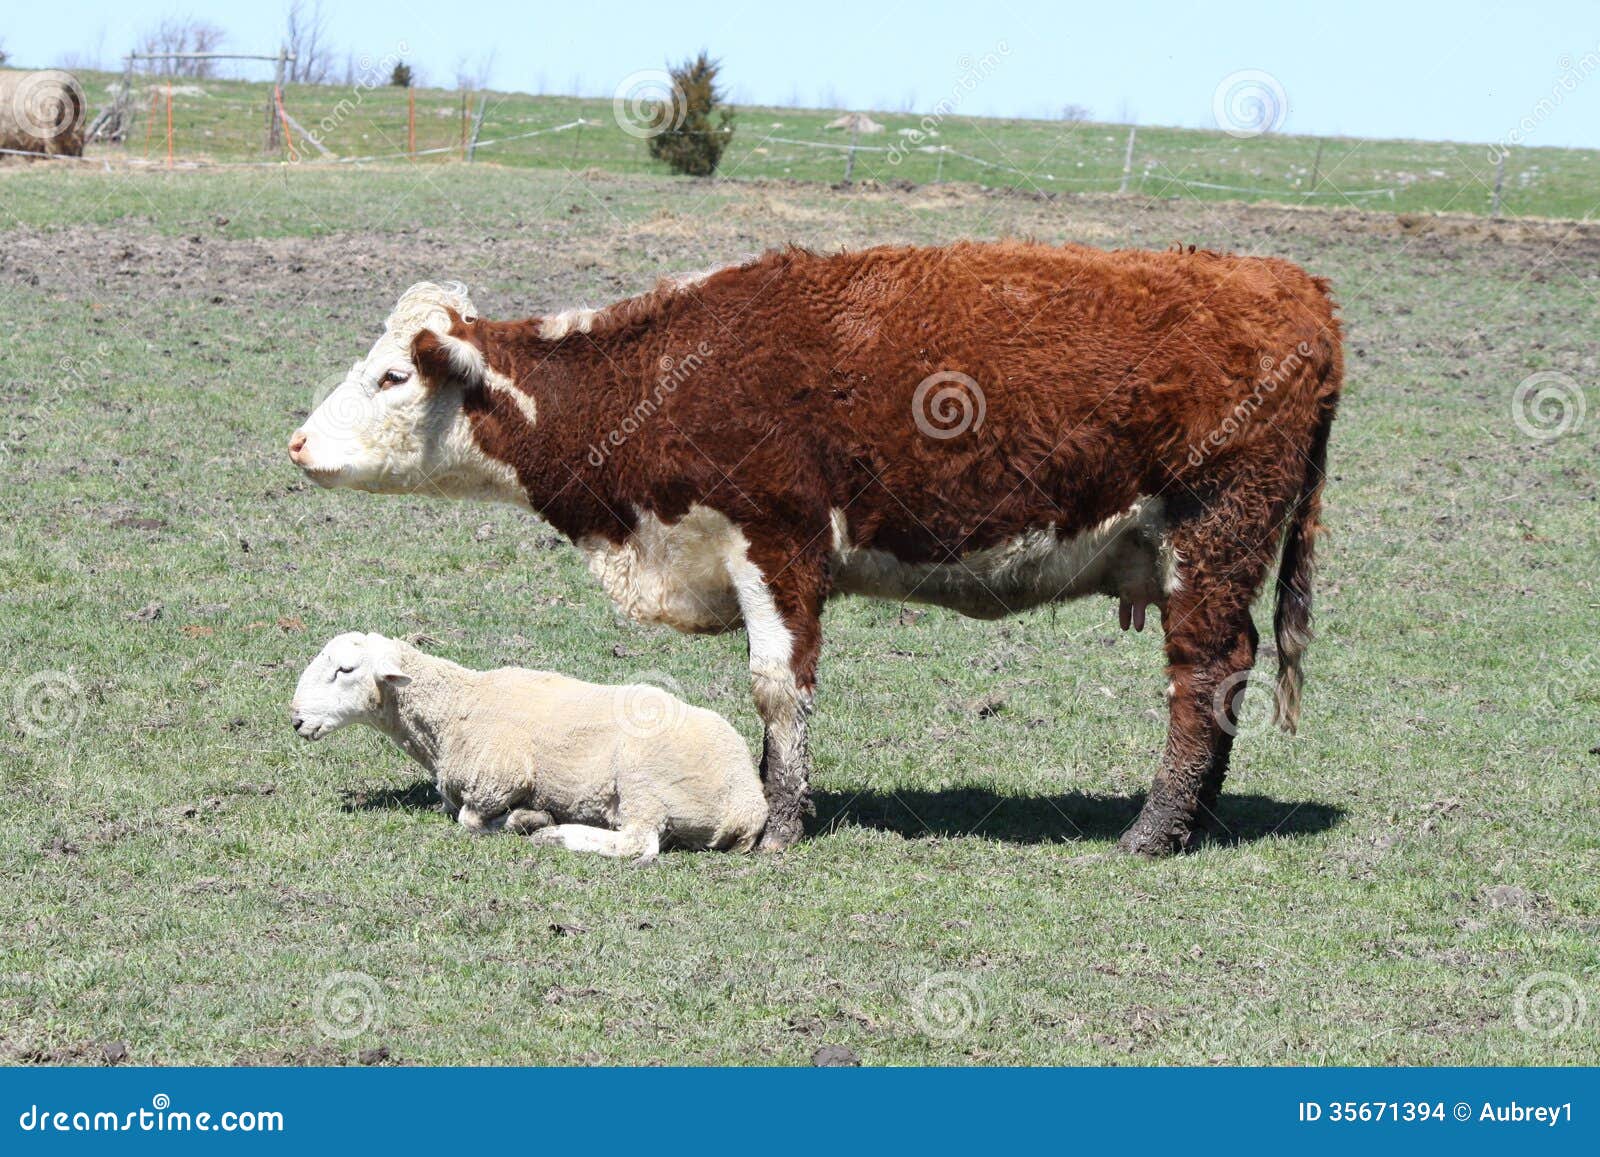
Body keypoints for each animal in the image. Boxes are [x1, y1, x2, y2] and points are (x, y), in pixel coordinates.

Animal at [287, 241, 1342, 856]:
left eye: (392, 377)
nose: (296, 443)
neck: (667, 376)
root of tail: (1294, 286)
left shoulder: (778, 541)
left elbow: (775, 685)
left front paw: (781, 823)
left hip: (1213, 533)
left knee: (1202, 676)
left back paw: (1155, 830)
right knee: (1232, 670)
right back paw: (1199, 818)